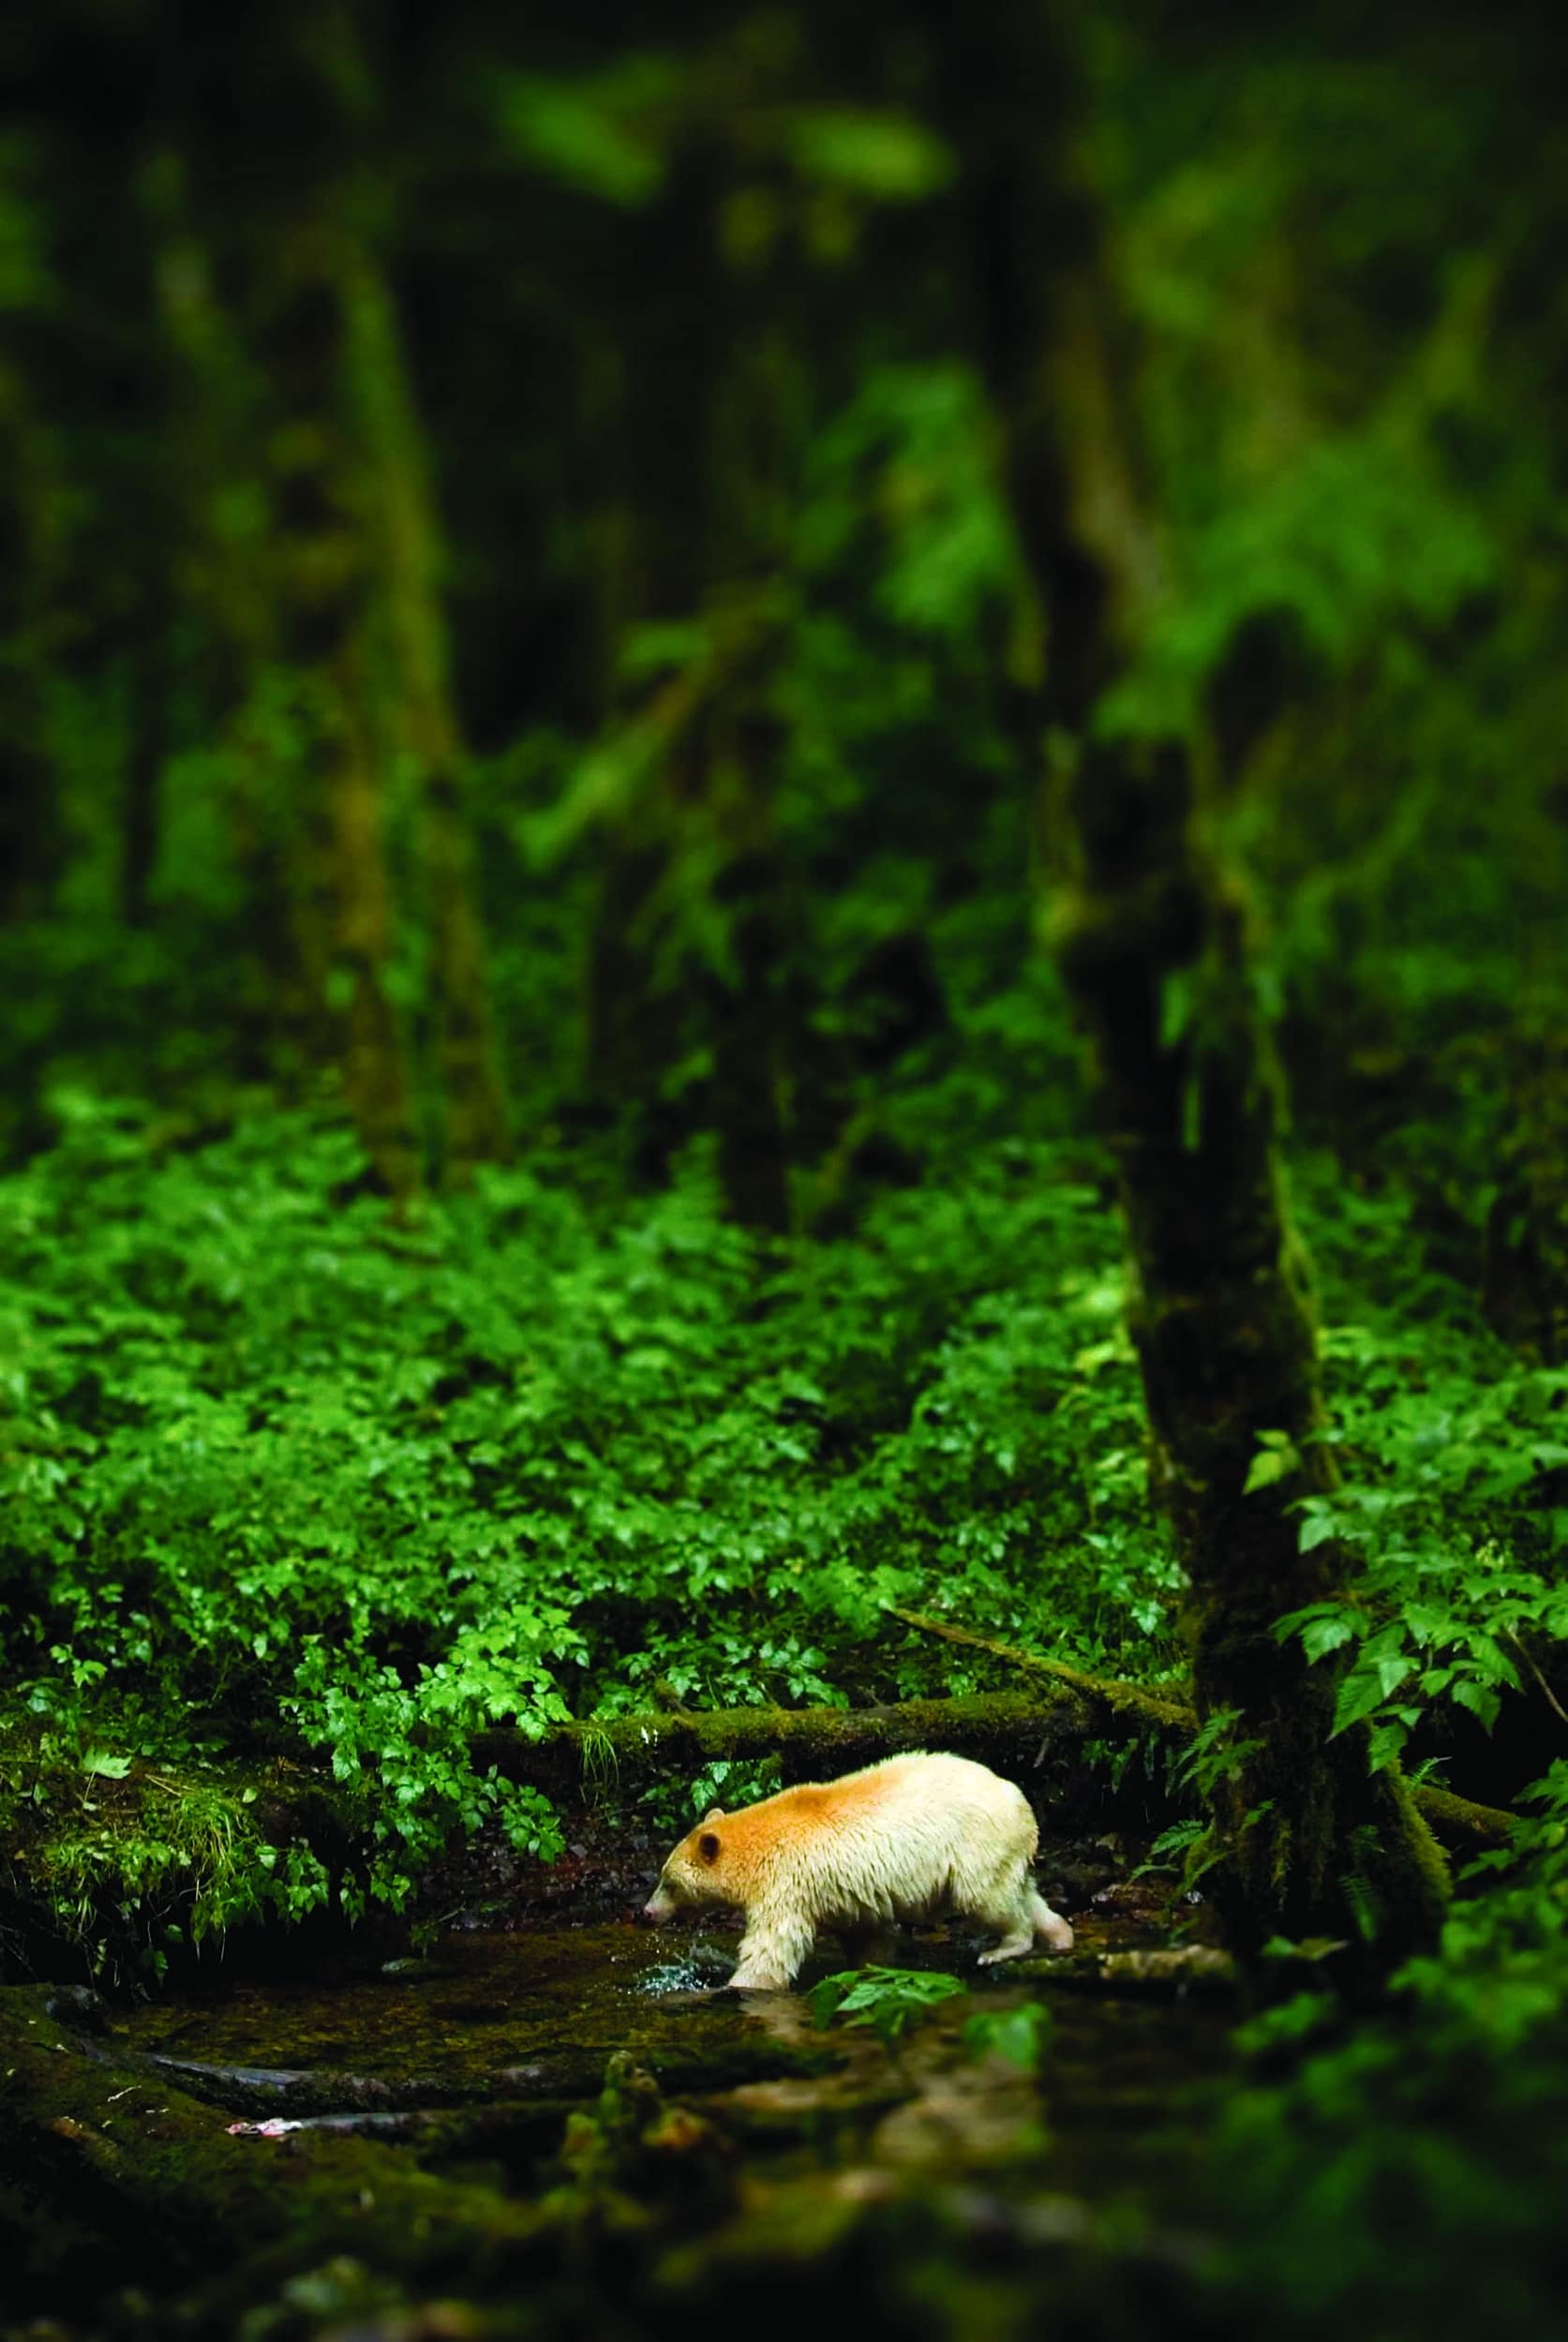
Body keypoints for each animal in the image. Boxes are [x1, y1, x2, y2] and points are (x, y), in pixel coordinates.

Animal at [642, 1750, 1074, 1991]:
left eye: (668, 1881)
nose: (647, 1911)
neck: (758, 1846)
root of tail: (1019, 1800)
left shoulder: (785, 1882)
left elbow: (773, 1946)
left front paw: (735, 1986)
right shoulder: (845, 1891)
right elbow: (865, 1934)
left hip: (974, 1845)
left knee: (986, 1898)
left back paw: (1006, 1946)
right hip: (1003, 1850)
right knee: (1021, 1891)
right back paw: (1058, 1934)